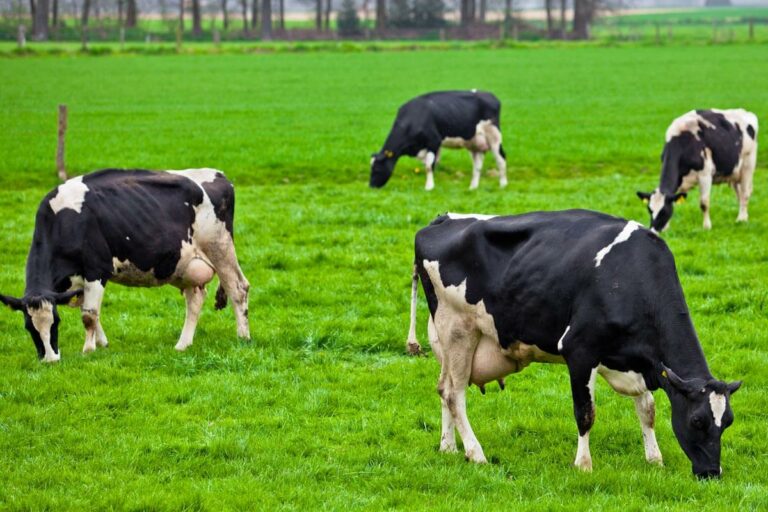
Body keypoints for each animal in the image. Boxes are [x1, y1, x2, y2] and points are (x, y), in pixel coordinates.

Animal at [0, 168, 251, 363]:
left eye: (56, 322)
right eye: (28, 326)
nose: (50, 360)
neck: (64, 221)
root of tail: (219, 175)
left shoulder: (96, 269)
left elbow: (88, 315)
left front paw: (88, 350)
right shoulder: (76, 281)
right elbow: (89, 311)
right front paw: (102, 343)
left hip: (220, 248)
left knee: (238, 288)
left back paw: (243, 336)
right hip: (186, 266)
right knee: (195, 299)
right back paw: (183, 344)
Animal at [369, 90, 507, 191]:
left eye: (376, 169)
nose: (371, 186)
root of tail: (490, 95)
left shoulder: (434, 141)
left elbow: (429, 166)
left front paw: (429, 187)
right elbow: (429, 165)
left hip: (494, 136)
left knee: (501, 159)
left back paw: (503, 184)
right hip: (475, 143)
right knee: (477, 166)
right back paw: (473, 188)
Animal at [405, 210, 741, 478]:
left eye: (728, 422)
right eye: (697, 421)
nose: (712, 472)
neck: (627, 275)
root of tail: (442, 219)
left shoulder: (637, 360)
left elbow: (648, 409)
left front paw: (654, 458)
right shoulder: (579, 350)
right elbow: (585, 412)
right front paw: (583, 464)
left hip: (445, 338)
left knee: (443, 387)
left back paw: (449, 447)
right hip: (457, 329)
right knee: (454, 394)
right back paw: (476, 453)